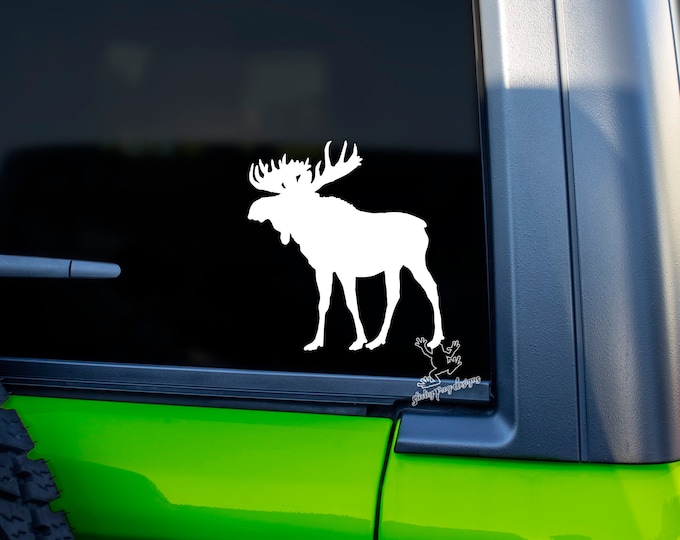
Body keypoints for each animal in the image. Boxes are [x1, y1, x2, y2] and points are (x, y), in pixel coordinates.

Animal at [247, 140, 444, 352]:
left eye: (288, 200)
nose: (254, 208)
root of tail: (423, 225)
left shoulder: (345, 269)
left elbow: (351, 302)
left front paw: (358, 341)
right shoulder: (322, 268)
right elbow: (323, 302)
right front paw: (316, 342)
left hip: (415, 260)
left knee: (431, 287)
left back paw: (435, 338)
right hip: (393, 266)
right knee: (394, 295)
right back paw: (378, 340)